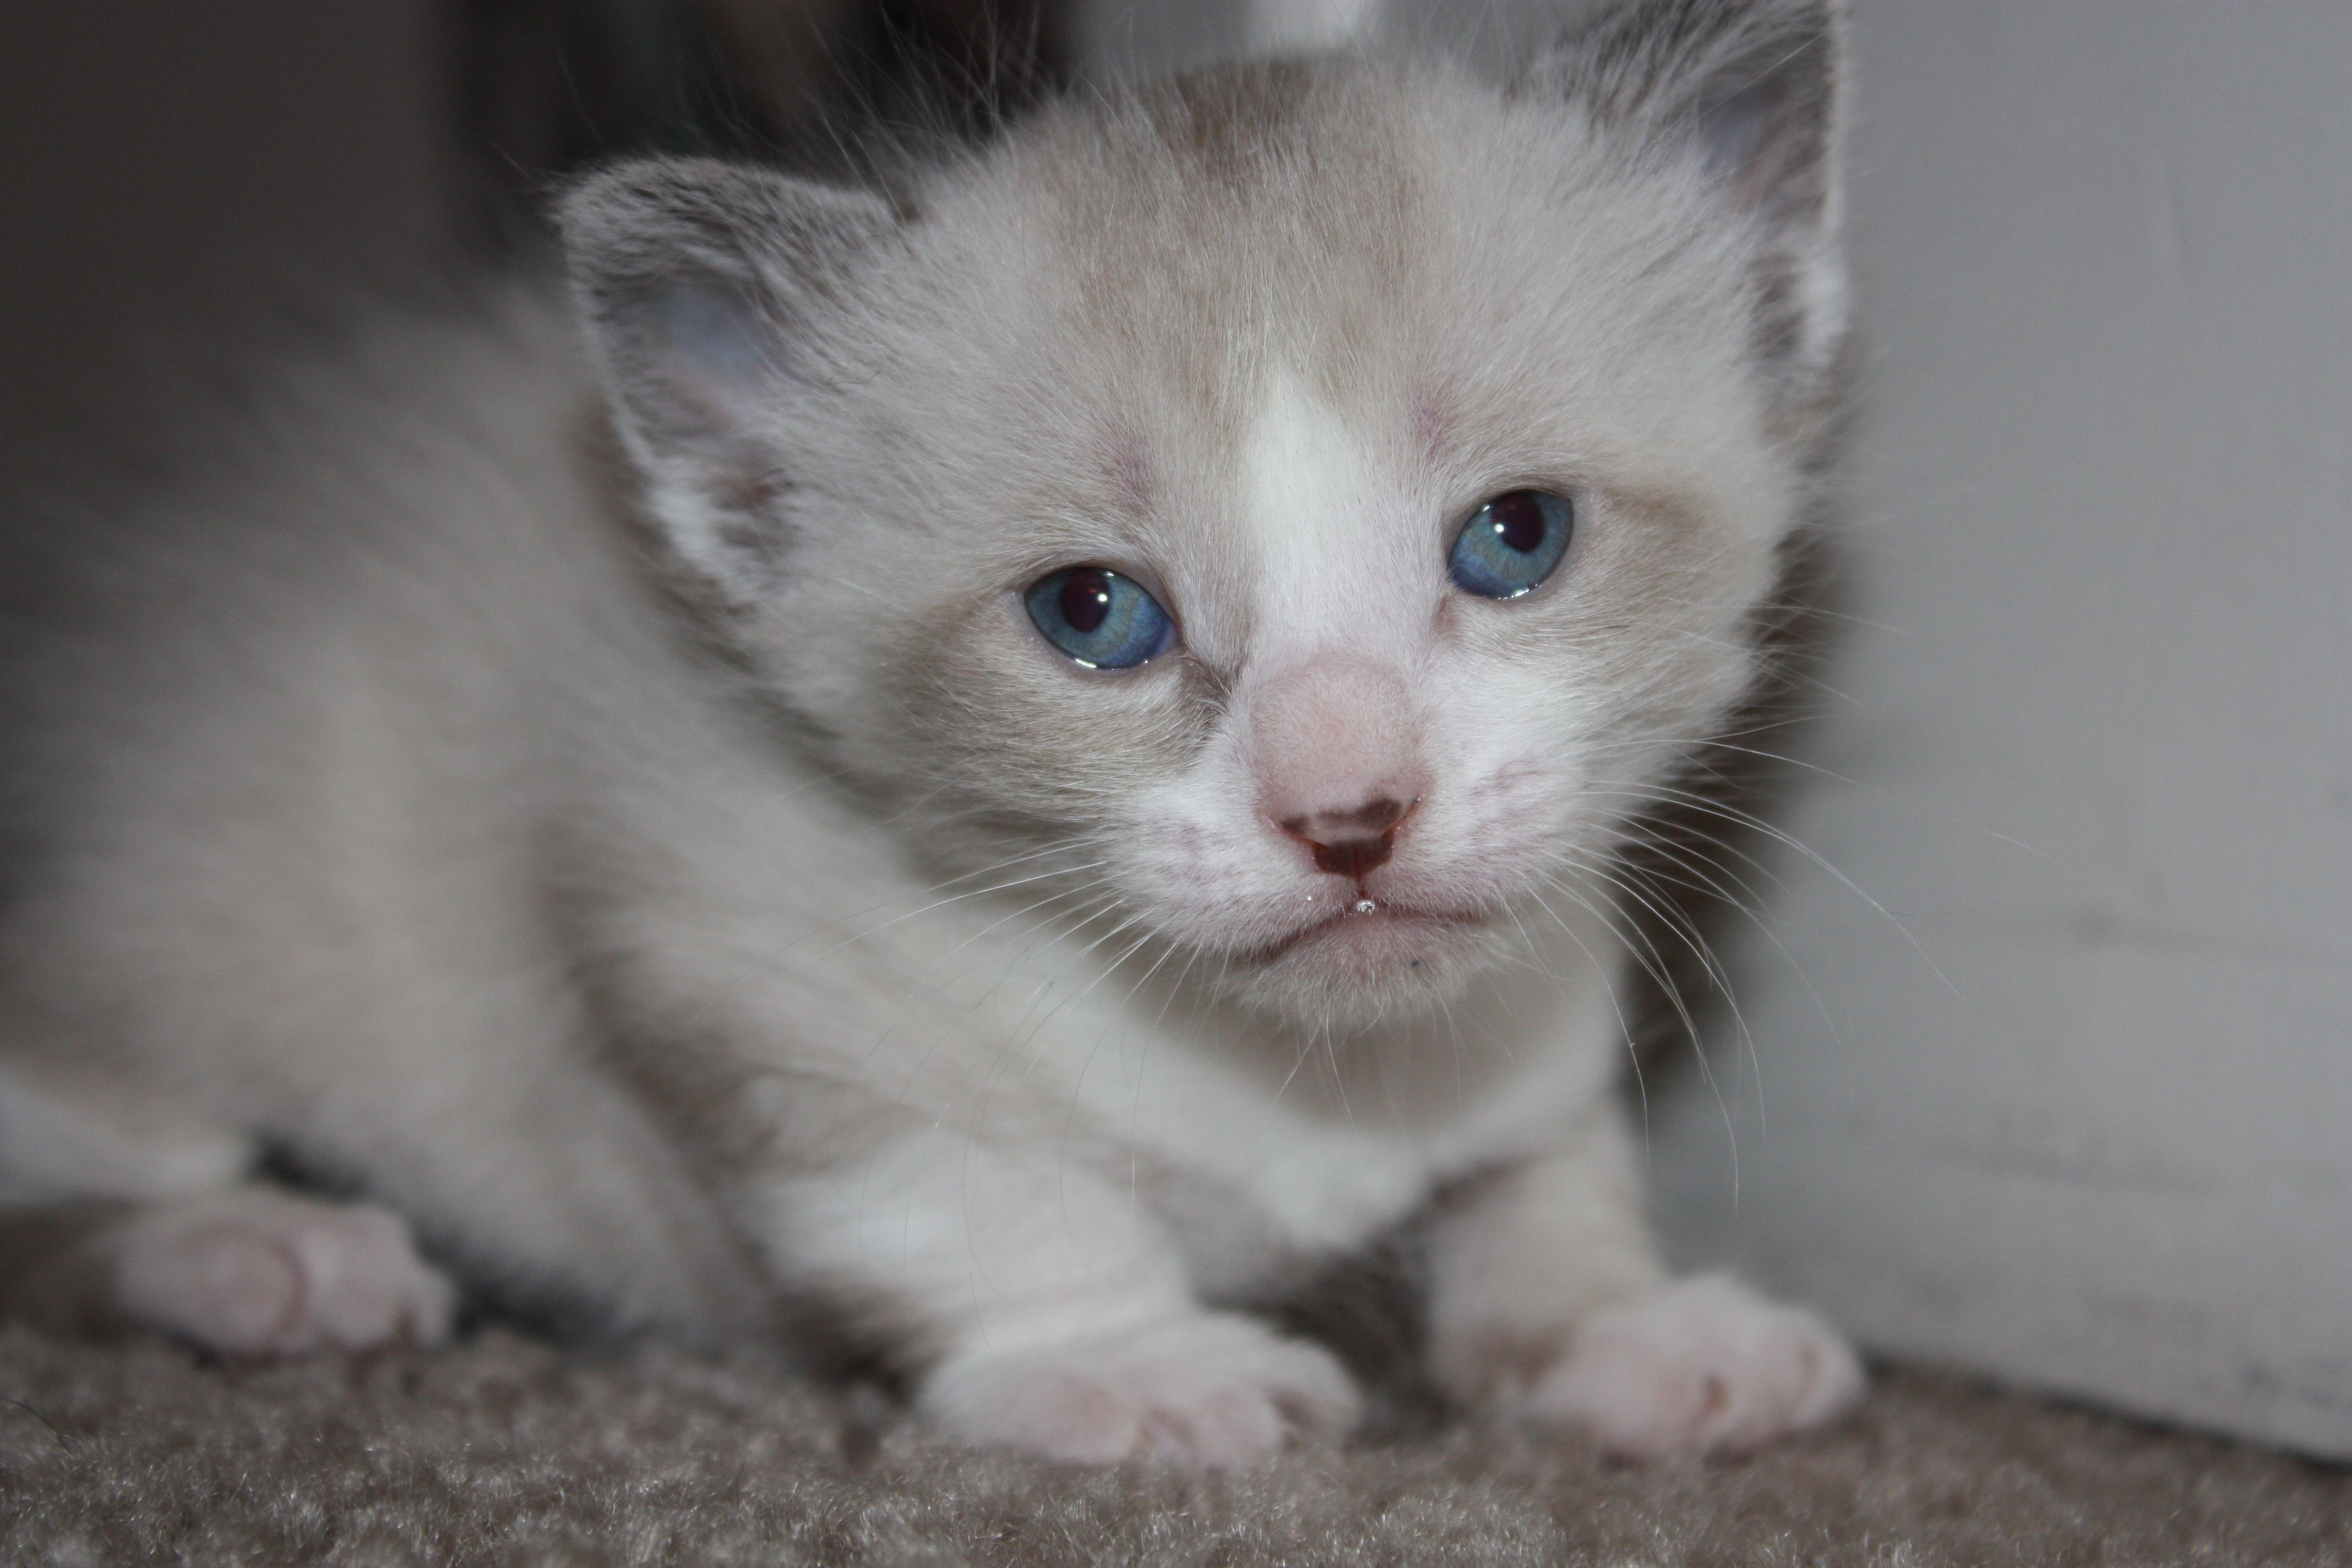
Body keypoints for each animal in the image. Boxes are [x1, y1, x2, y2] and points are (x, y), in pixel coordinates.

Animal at [4, 3, 1872, 1476]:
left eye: (1514, 537)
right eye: (1092, 616)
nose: (1349, 813)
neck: (1289, 1075)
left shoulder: (1535, 976)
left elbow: (1542, 1165)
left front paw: (1617, 1330)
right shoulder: (703, 931)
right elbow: (978, 1196)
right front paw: (1132, 1365)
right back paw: (264, 1254)